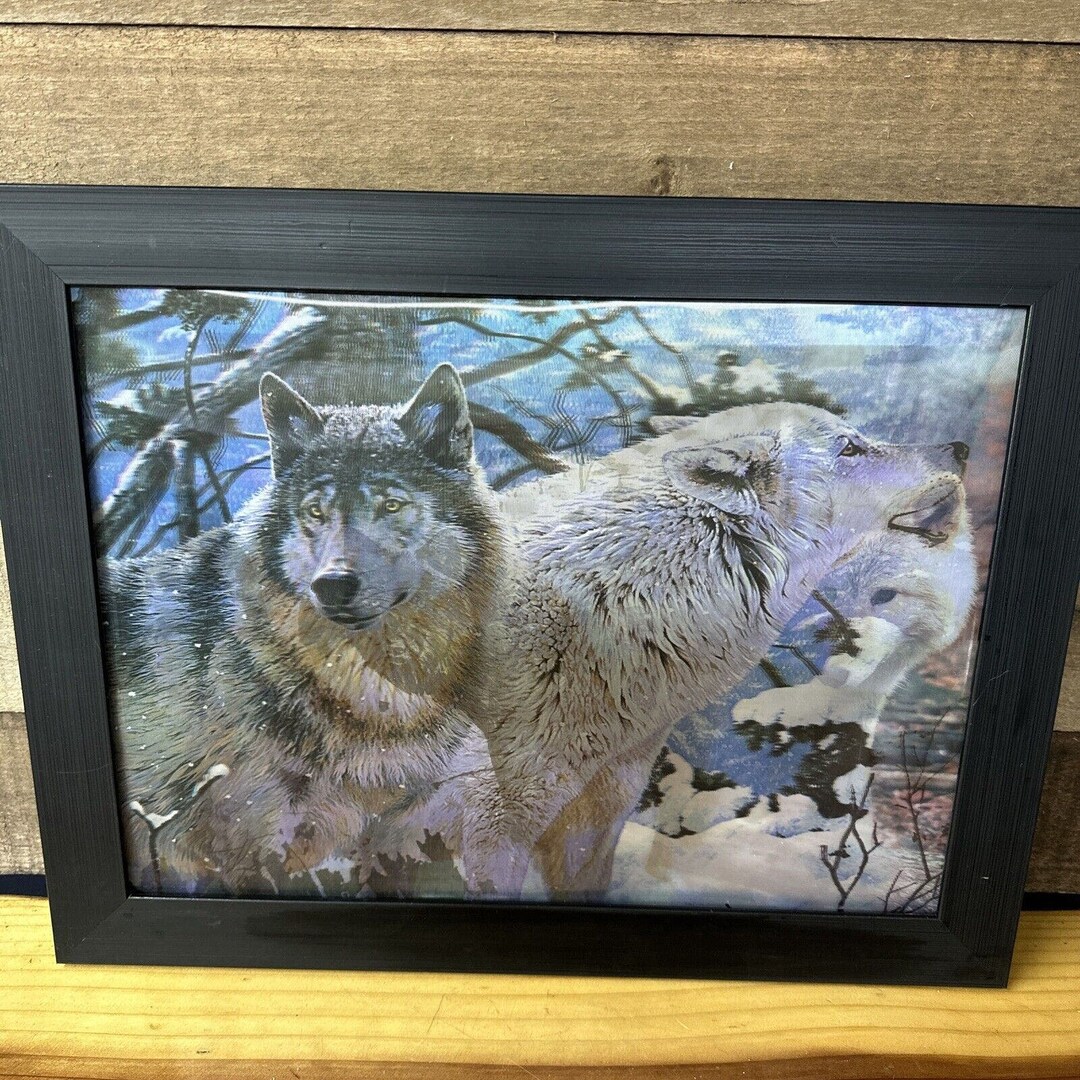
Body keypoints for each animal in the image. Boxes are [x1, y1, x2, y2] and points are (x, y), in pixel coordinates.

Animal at [104, 364, 522, 896]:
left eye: (391, 505)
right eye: (316, 512)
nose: (334, 584)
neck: (376, 701)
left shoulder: (406, 827)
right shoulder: (253, 850)